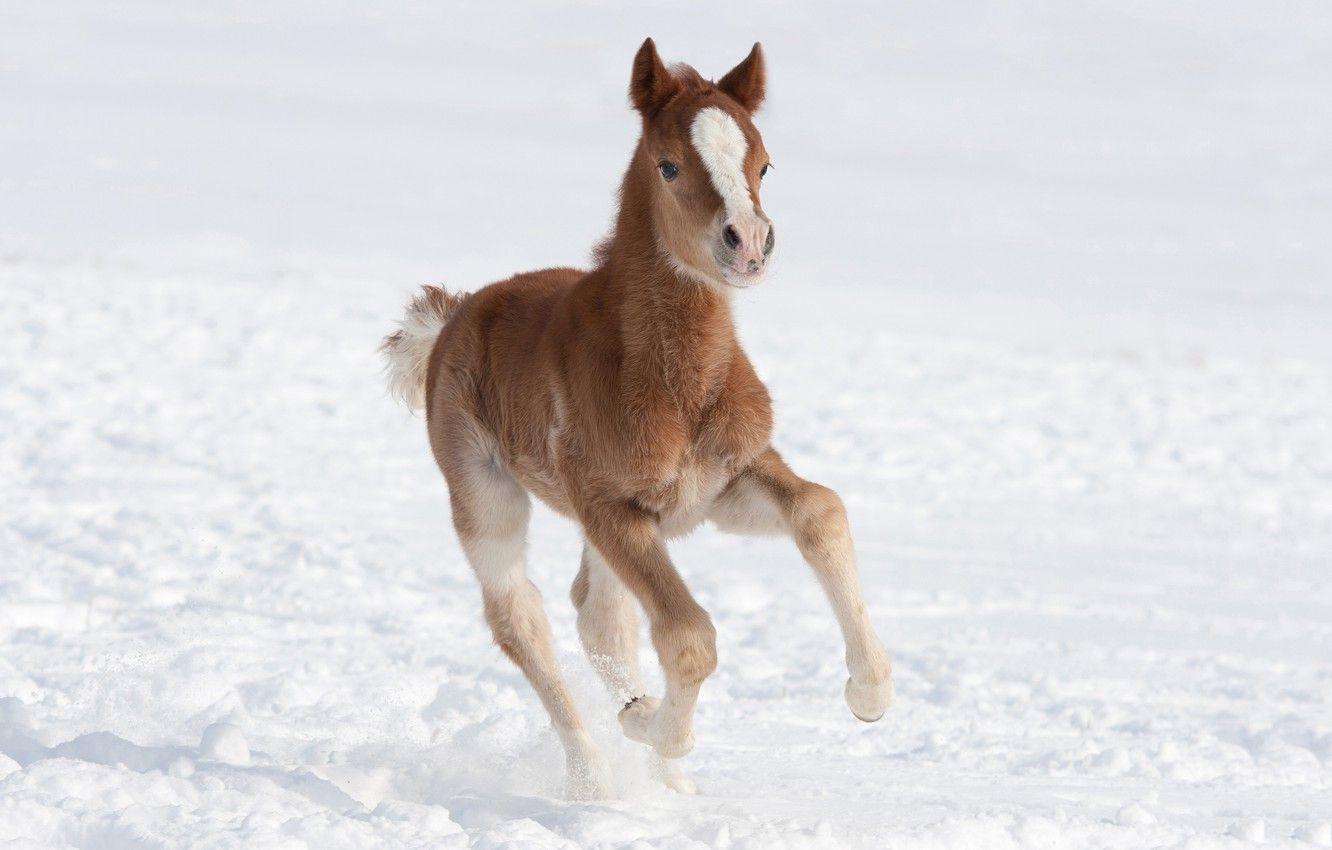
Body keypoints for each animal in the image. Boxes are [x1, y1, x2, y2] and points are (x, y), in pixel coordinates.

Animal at [382, 38, 893, 799]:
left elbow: (821, 511)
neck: (675, 381)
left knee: (596, 613)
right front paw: (658, 730)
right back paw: (595, 775)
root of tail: (455, 316)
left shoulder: (719, 485)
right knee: (519, 616)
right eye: (669, 164)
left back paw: (660, 770)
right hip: (484, 494)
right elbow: (688, 637)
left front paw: (870, 693)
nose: (748, 244)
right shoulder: (613, 506)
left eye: (763, 163)